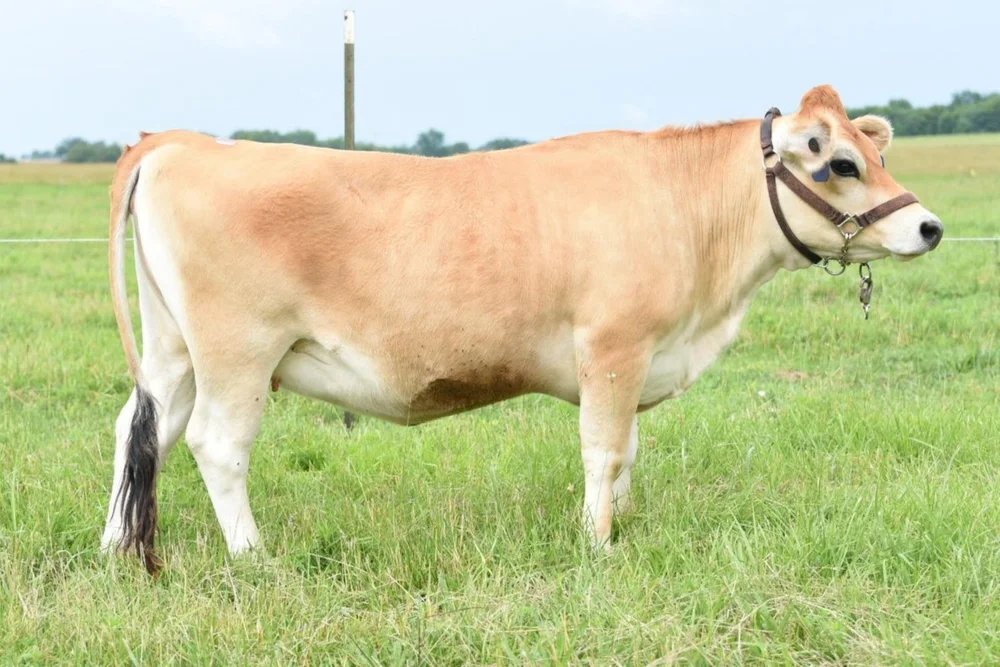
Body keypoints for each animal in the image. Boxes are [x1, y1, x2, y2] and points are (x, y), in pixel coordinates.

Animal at [101, 85, 943, 574]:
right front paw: (598, 544)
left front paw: (619, 522)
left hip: (173, 352)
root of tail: (184, 142)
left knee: (142, 430)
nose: (929, 226)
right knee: (216, 443)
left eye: (872, 152)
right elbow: (604, 448)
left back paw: (115, 547)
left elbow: (628, 450)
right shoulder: (614, 346)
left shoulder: (638, 357)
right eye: (840, 163)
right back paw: (255, 560)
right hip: (237, 352)